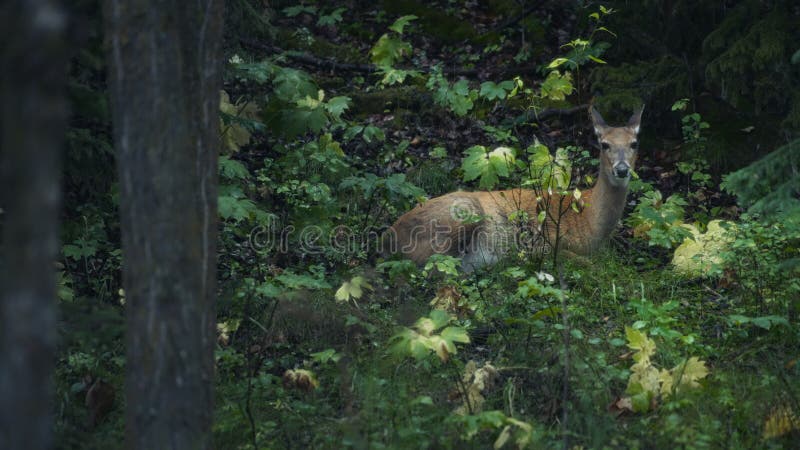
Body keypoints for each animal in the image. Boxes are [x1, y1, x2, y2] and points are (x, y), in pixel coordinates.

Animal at [385, 105, 643, 271]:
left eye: (634, 143)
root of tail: (390, 236)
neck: (589, 221)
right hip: (462, 214)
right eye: (604, 144)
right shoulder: (547, 241)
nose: (622, 169)